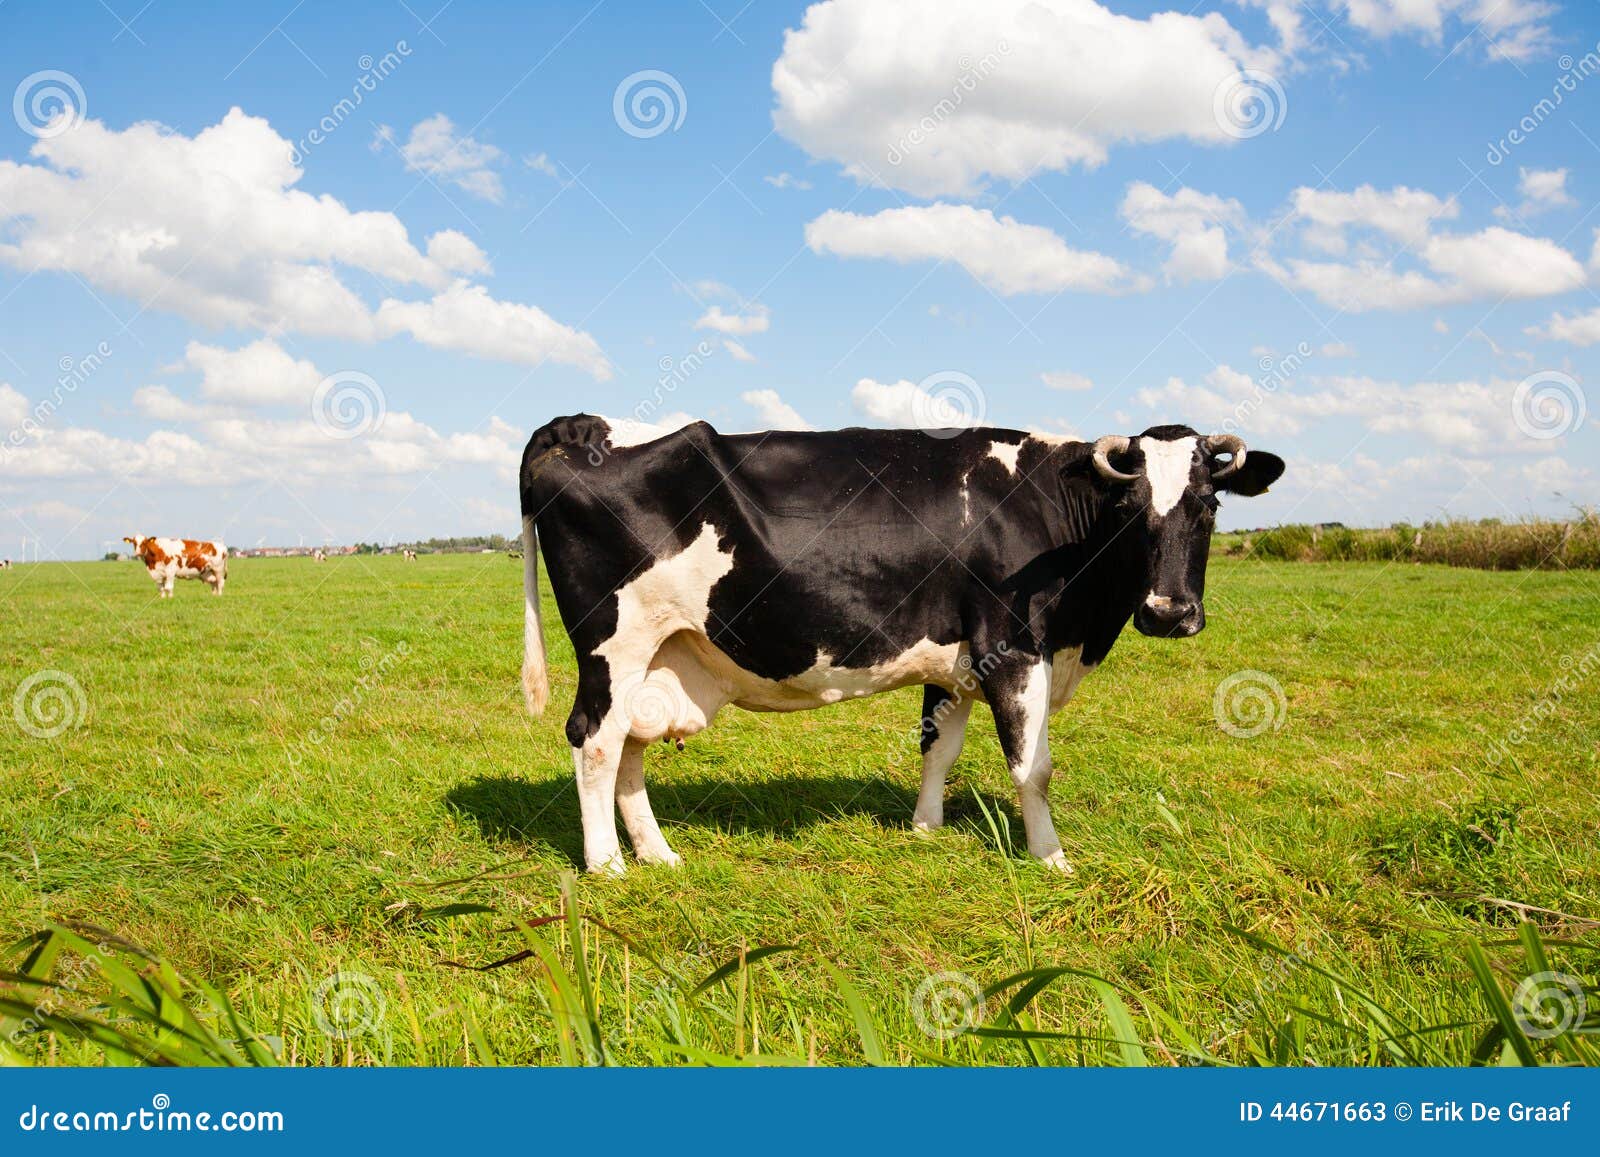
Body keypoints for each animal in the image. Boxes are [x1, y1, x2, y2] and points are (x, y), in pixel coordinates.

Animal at [518, 415, 1284, 876]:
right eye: (1128, 508)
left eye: (1209, 505)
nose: (1168, 611)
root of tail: (577, 426)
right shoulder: (1015, 644)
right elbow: (1033, 767)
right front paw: (1051, 858)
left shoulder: (959, 657)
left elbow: (938, 746)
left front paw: (925, 829)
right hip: (614, 643)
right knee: (593, 739)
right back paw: (607, 866)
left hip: (661, 652)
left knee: (628, 743)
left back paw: (658, 854)